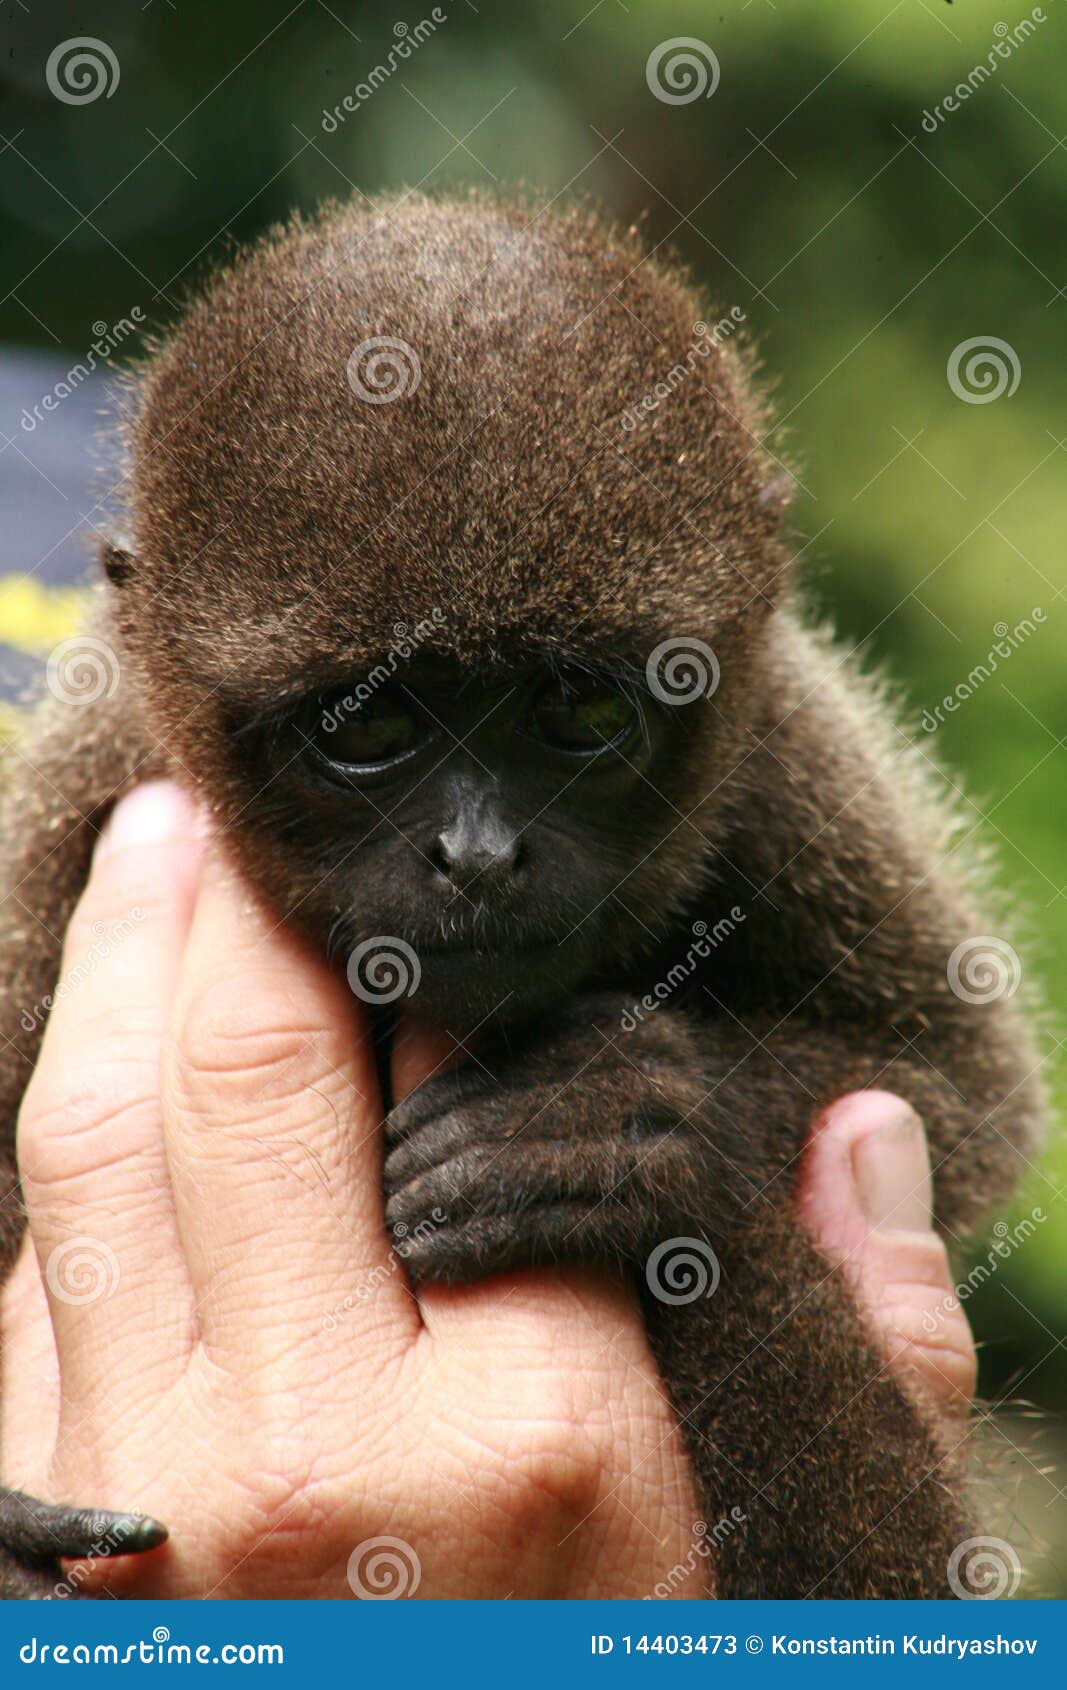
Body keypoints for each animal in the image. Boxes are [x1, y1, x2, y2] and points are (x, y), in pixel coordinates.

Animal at [0, 191, 1042, 1599]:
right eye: (367, 723)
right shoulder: (88, 773)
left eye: (584, 709)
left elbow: (958, 1078)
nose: (479, 854)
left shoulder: (784, 752)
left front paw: (606, 1120)